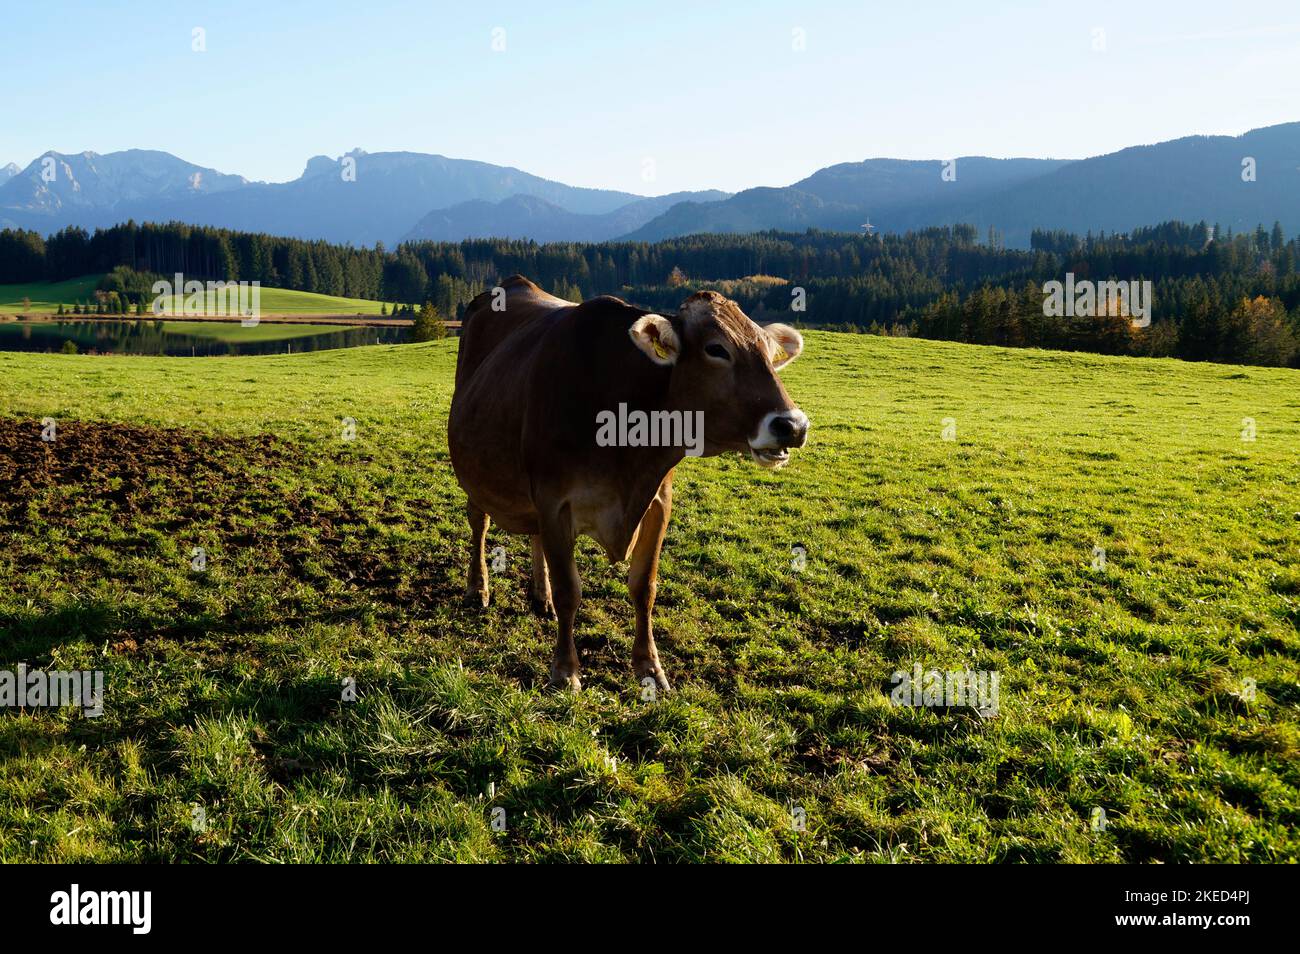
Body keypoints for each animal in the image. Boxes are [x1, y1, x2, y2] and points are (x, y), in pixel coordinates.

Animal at [448, 276, 809, 691]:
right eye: (717, 349)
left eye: (768, 350)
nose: (792, 425)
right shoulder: (555, 502)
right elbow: (571, 590)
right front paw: (565, 671)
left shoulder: (657, 501)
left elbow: (644, 587)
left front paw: (649, 666)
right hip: (474, 471)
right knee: (479, 523)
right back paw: (478, 588)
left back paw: (541, 596)